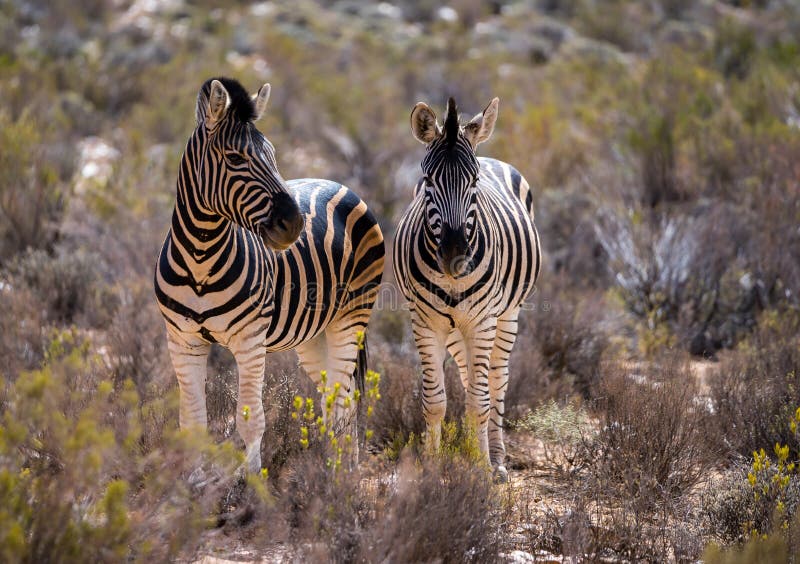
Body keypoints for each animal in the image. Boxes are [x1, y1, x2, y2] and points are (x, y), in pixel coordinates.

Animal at [154, 77, 385, 473]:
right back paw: (338, 466)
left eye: (273, 154)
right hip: (313, 334)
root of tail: (338, 182)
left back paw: (341, 475)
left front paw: (251, 482)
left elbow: (250, 420)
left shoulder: (249, 340)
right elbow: (192, 421)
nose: (293, 224)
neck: (200, 257)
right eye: (235, 158)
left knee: (343, 397)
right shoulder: (182, 340)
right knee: (335, 396)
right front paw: (191, 482)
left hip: (351, 315)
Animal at [393, 97, 541, 481]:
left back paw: (497, 458)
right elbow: (435, 401)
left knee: (497, 381)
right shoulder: (424, 323)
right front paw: (431, 467)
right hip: (456, 327)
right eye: (428, 180)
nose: (454, 255)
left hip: (506, 317)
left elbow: (479, 400)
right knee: (467, 376)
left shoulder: (483, 322)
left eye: (473, 181)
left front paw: (479, 468)